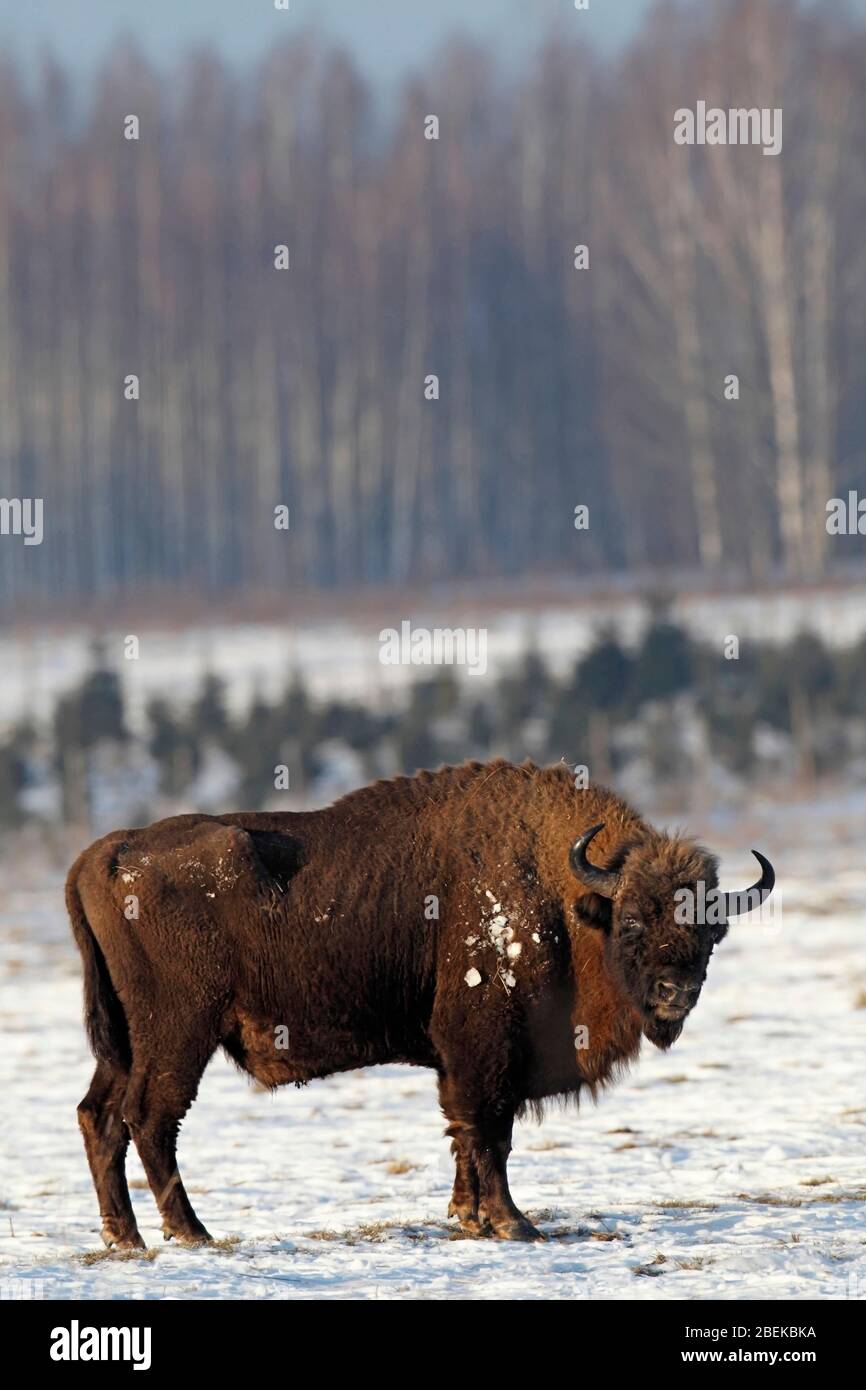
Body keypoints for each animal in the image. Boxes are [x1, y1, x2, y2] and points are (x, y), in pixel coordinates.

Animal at [67, 758, 774, 1244]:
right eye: (631, 920)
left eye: (709, 928)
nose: (675, 991)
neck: (564, 895)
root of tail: (107, 852)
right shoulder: (486, 1048)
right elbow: (488, 1131)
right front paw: (512, 1223)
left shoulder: (465, 1060)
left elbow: (467, 1132)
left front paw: (469, 1217)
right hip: (177, 1033)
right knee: (150, 1119)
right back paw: (192, 1234)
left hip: (125, 1043)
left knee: (100, 1117)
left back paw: (126, 1238)